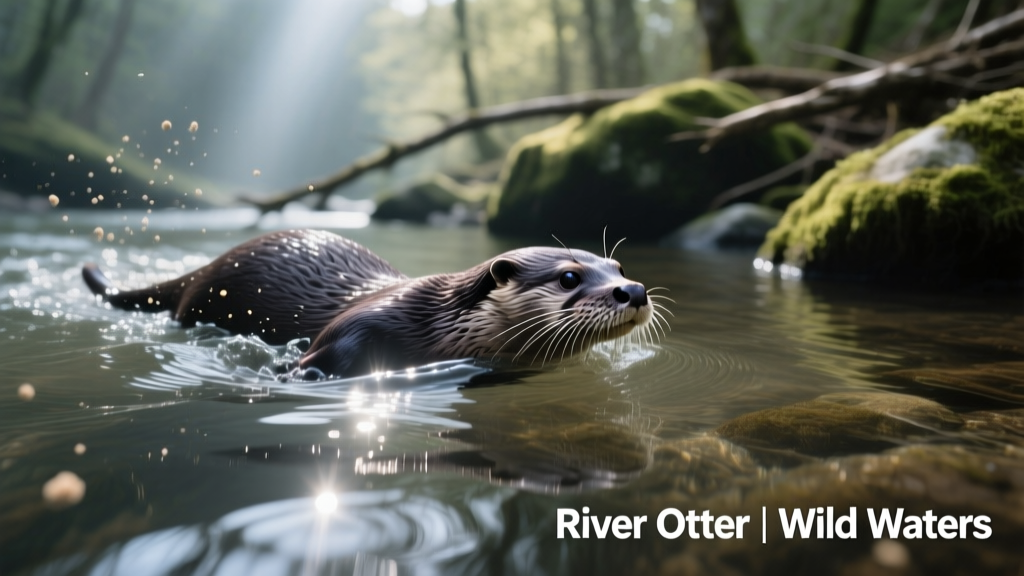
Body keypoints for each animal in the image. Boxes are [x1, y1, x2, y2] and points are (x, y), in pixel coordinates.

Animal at [82, 230, 662, 378]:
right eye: (568, 277)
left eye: (618, 268)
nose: (634, 291)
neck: (434, 322)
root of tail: (206, 267)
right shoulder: (358, 329)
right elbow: (313, 360)